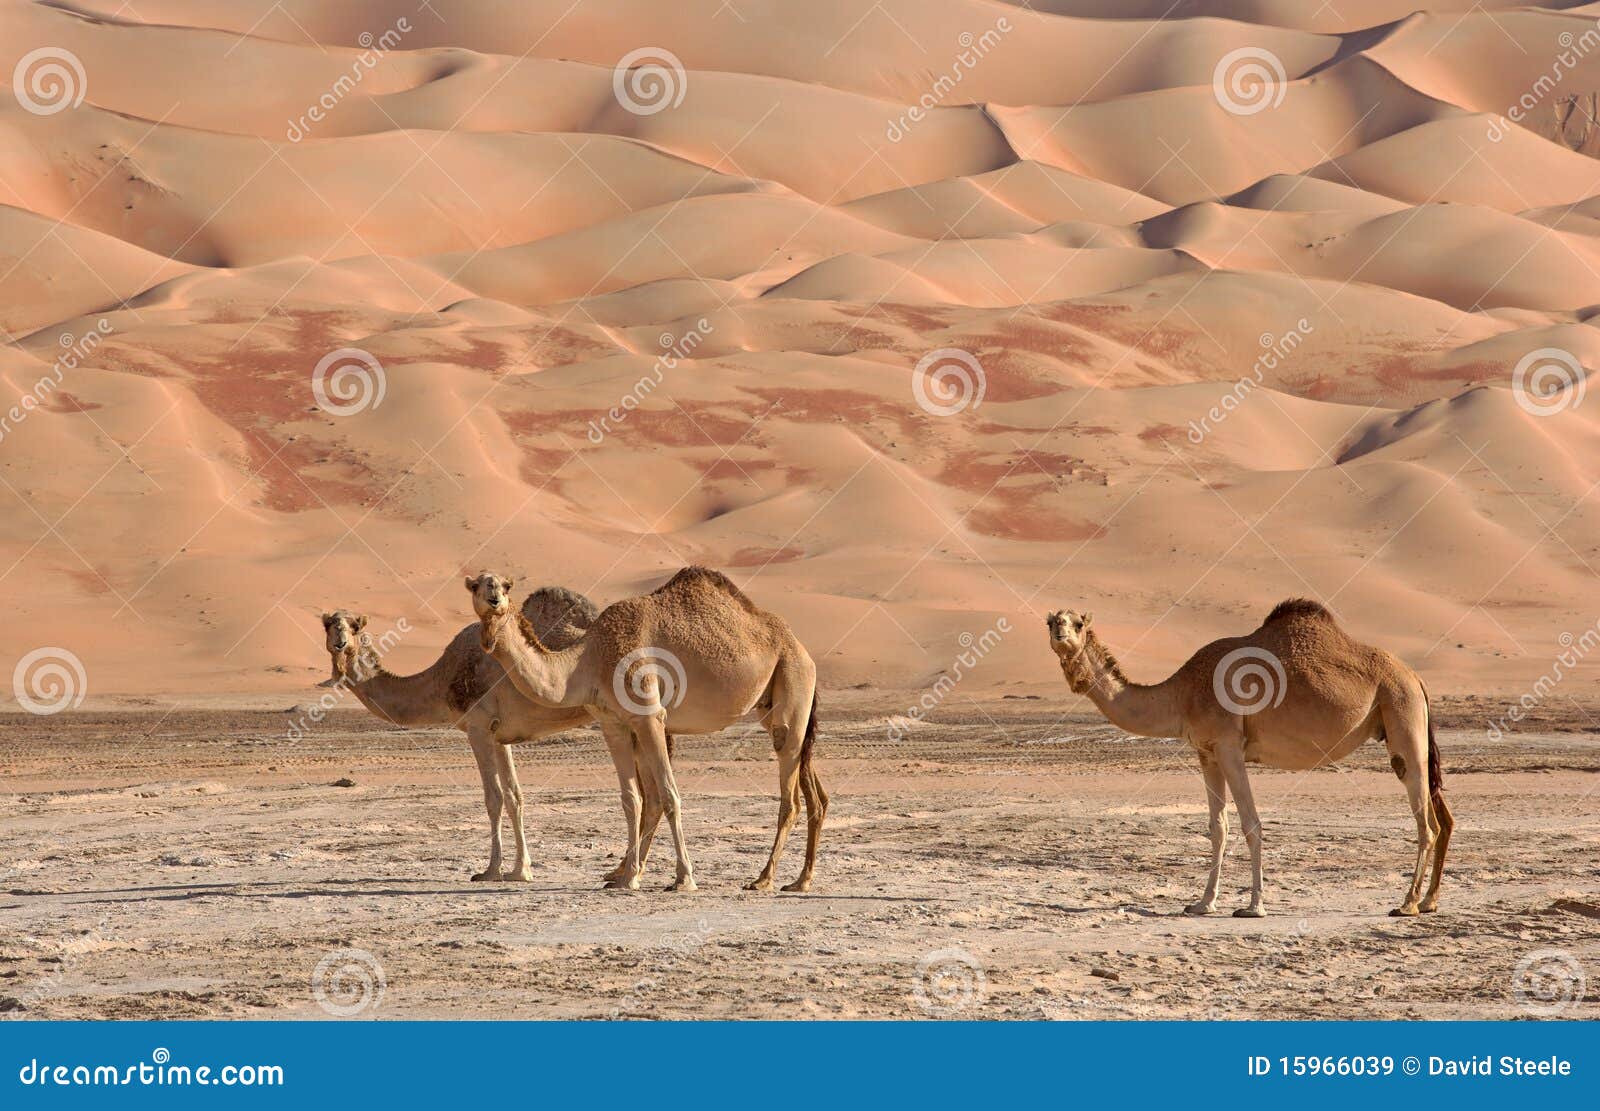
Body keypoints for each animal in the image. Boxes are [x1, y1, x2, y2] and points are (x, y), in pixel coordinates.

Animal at [320, 586, 671, 884]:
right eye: (328, 625)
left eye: (354, 626)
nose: (340, 643)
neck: (441, 680)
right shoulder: (501, 736)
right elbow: (515, 796)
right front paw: (520, 870)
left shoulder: (477, 727)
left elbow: (494, 798)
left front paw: (490, 871)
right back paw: (625, 871)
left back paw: (632, 873)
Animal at [468, 566, 825, 894]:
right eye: (475, 585)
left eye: (504, 585)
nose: (494, 599)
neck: (589, 660)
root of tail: (803, 650)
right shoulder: (612, 723)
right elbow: (632, 799)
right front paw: (627, 877)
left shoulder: (650, 717)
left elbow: (668, 795)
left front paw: (683, 878)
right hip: (773, 702)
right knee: (809, 789)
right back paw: (799, 880)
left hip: (792, 681)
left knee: (790, 791)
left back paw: (764, 878)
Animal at [1045, 599, 1453, 918]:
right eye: (1051, 621)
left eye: (1077, 622)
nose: (1060, 632)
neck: (1183, 693)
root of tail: (1415, 678)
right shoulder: (1206, 752)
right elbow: (1218, 827)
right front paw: (1203, 903)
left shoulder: (1229, 746)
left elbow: (1251, 823)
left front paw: (1254, 906)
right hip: (1404, 720)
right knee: (1442, 816)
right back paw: (1429, 901)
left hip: (1401, 712)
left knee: (1427, 821)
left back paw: (1407, 903)